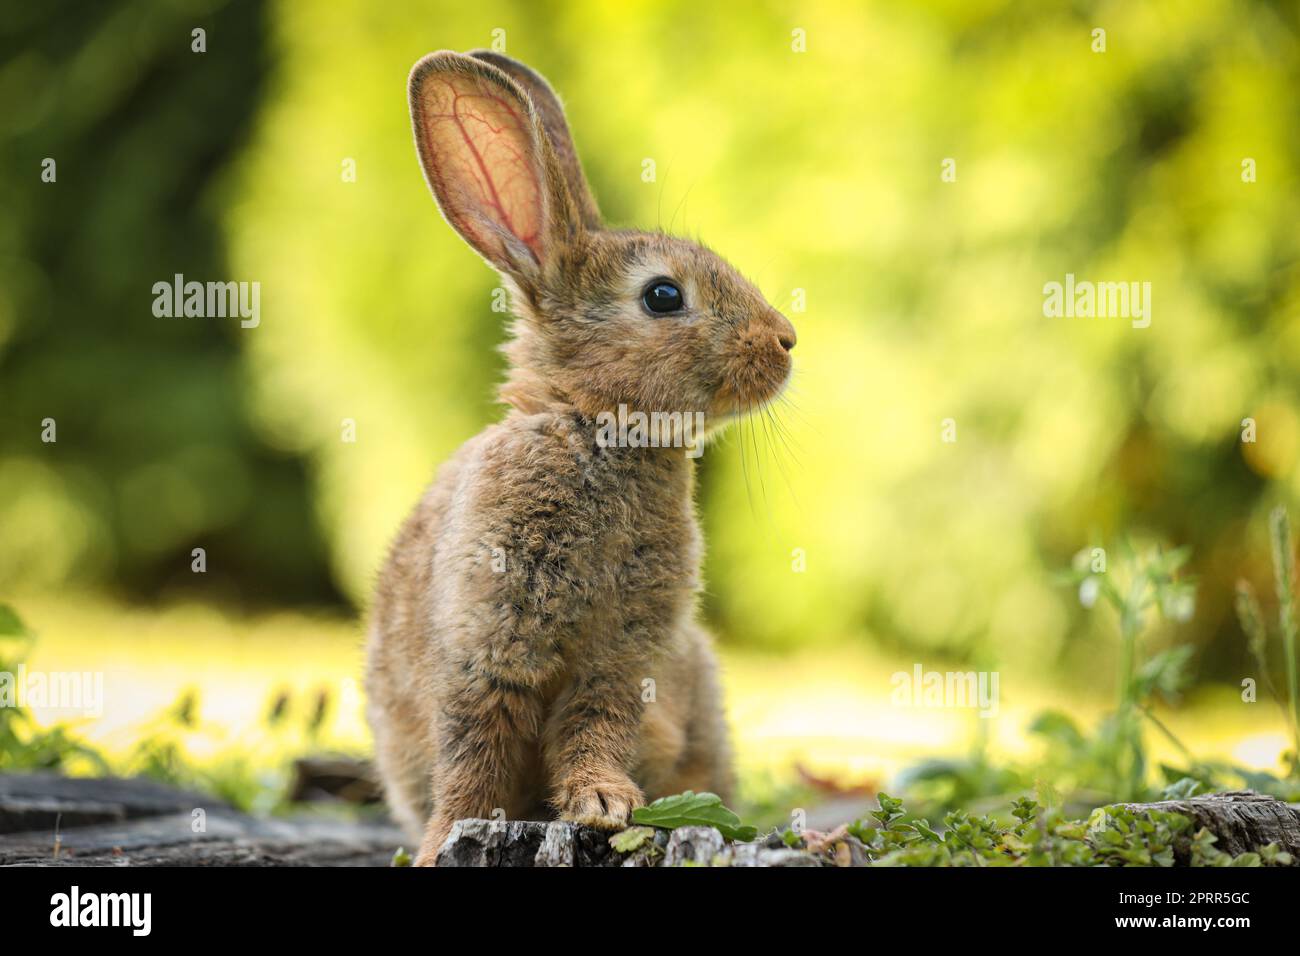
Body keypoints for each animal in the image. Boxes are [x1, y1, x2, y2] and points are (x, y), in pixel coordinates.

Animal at [364, 49, 797, 866]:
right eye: (663, 296)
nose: (786, 341)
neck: (595, 429)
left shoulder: (621, 659)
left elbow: (593, 728)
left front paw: (603, 805)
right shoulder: (487, 648)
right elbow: (474, 756)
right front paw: (443, 844)